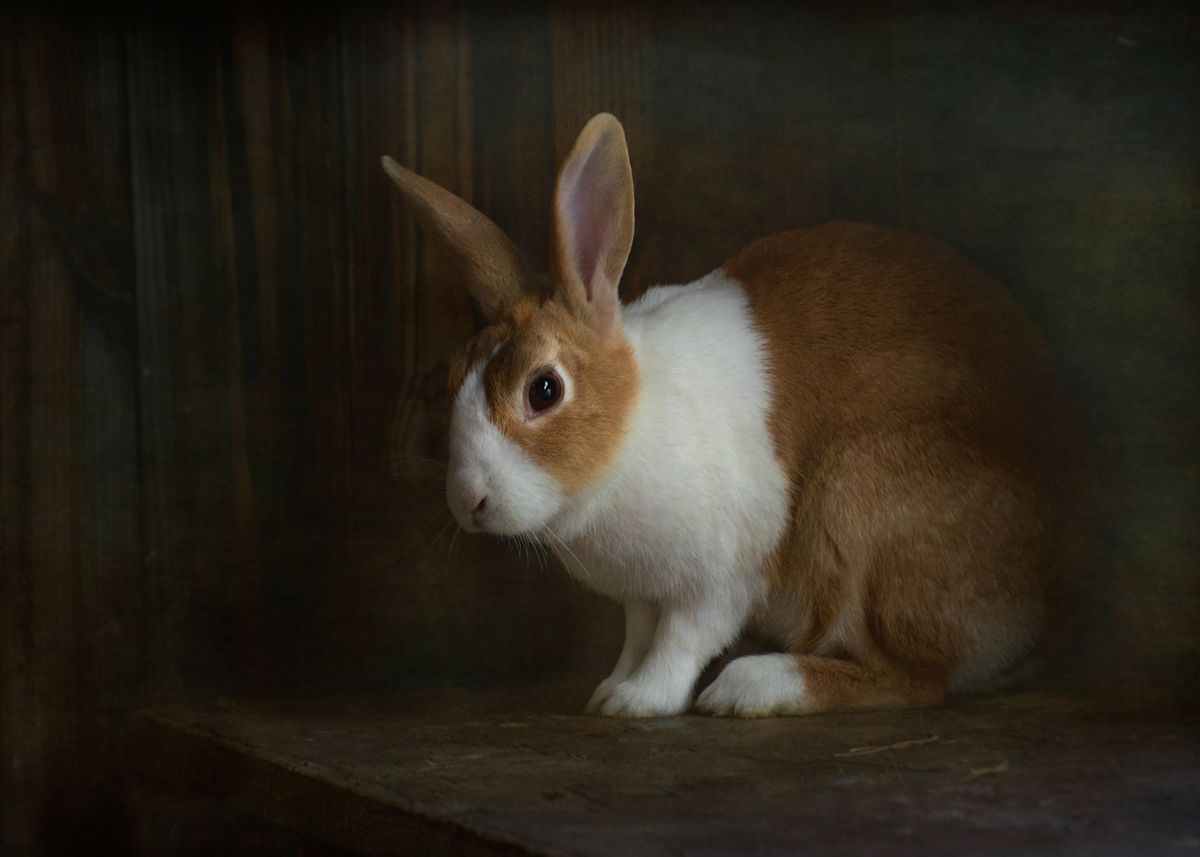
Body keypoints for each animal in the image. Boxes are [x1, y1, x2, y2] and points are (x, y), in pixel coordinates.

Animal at [381, 113, 1088, 718]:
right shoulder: (642, 593)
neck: (631, 429)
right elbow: (637, 637)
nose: (468, 501)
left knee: (914, 681)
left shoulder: (717, 581)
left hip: (860, 509)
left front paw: (640, 702)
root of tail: (1042, 618)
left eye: (545, 390)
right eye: (453, 378)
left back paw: (753, 686)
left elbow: (680, 642)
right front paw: (607, 692)